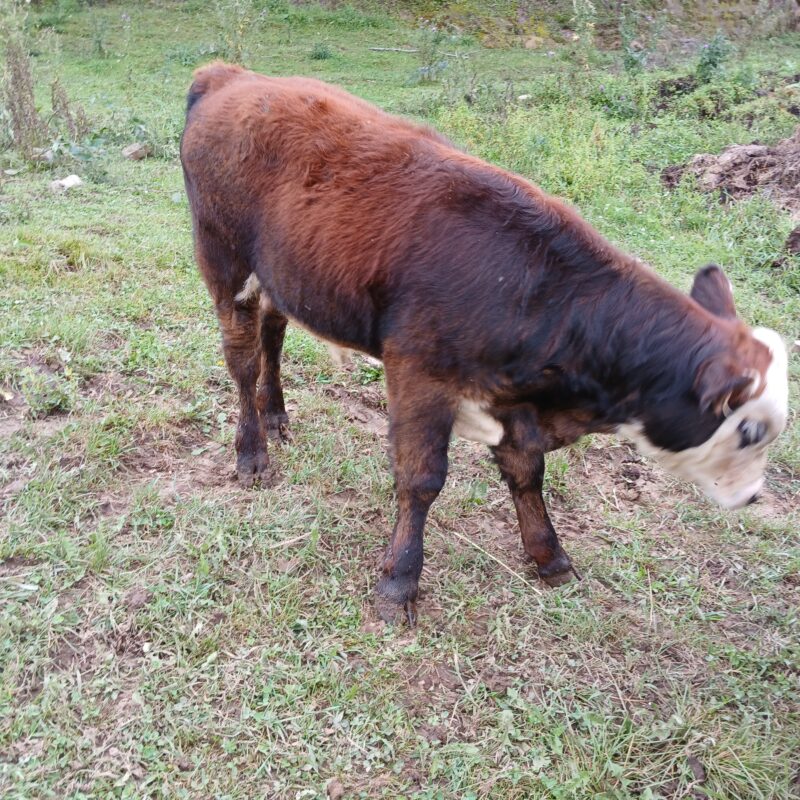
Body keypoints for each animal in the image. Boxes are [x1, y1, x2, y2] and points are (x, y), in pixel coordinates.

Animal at [180, 63, 789, 625]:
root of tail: (232, 75)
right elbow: (422, 479)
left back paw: (277, 414)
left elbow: (527, 471)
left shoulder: (513, 397)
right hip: (223, 260)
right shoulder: (419, 375)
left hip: (284, 275)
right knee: (242, 359)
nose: (753, 497)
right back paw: (252, 450)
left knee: (273, 334)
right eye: (749, 429)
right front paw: (399, 583)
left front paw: (548, 555)